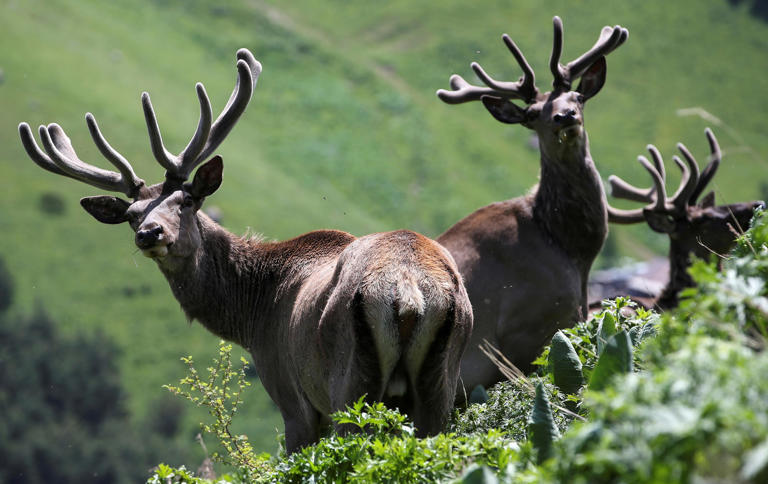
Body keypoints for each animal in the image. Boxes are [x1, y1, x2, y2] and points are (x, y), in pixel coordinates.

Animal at [18, 48, 473, 453]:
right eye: (130, 214)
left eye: (186, 200)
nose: (149, 233)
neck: (254, 316)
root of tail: (409, 293)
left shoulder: (291, 396)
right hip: (442, 386)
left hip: (350, 388)